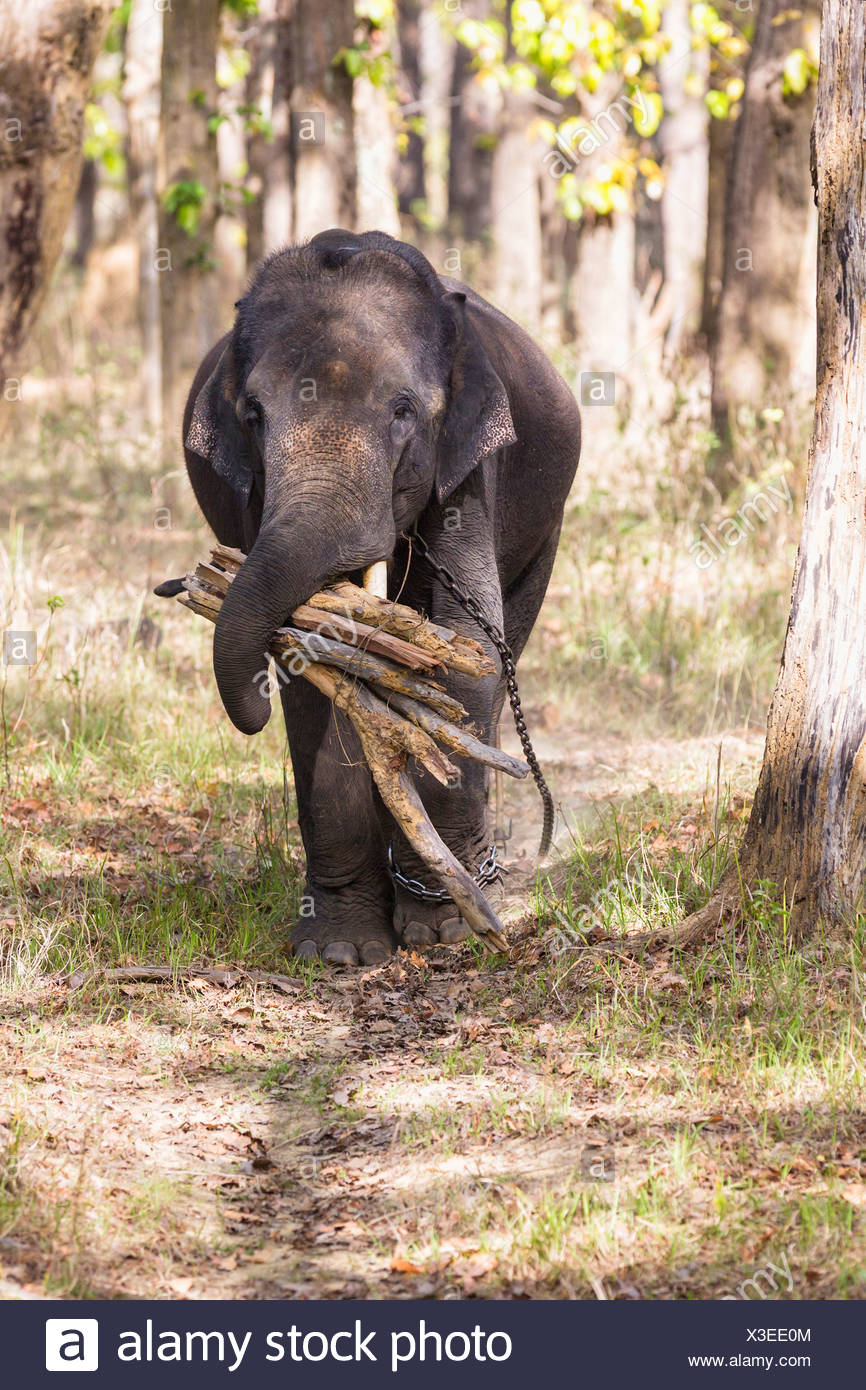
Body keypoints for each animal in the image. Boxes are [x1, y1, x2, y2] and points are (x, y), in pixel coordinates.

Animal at [182, 229, 581, 965]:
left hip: (549, 525)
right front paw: (341, 953)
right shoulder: (252, 498)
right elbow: (314, 666)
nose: (250, 713)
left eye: (403, 412)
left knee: (506, 649)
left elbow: (465, 650)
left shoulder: (470, 472)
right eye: (252, 414)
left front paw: (444, 931)